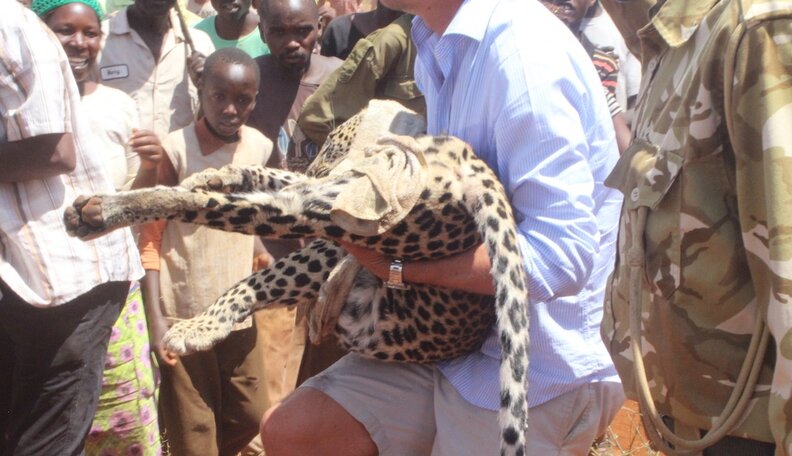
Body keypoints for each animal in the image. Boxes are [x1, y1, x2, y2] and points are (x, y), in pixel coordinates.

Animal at [63, 100, 531, 456]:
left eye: (331, 140)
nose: (323, 160)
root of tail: (466, 159)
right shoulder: (321, 188)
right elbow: (263, 174)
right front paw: (212, 174)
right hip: (337, 219)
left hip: (336, 220)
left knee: (217, 215)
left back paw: (104, 218)